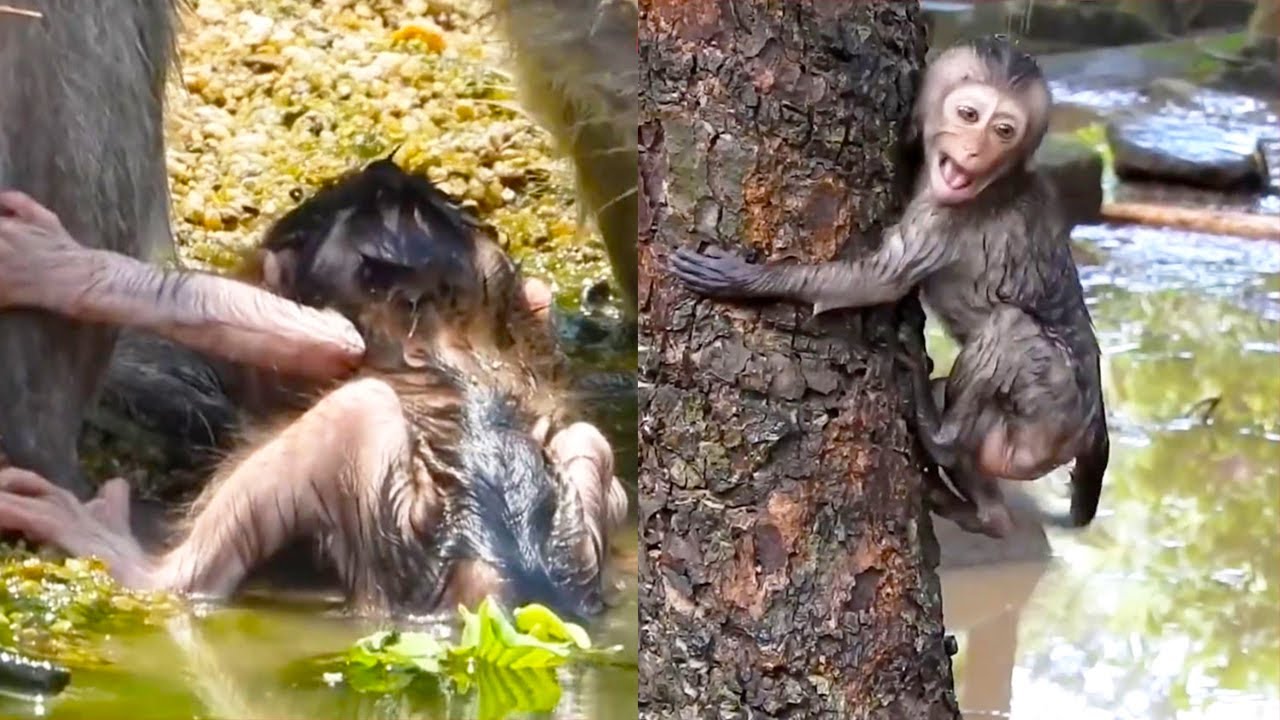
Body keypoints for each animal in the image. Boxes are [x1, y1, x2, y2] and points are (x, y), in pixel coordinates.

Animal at [0, 159, 628, 620]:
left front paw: (59, 267)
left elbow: (326, 340)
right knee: (588, 440)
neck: (441, 312)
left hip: (402, 552)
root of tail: (513, 587)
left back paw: (128, 556)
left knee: (360, 406)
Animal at [668, 36, 1109, 539]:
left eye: (1003, 131)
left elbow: (881, 281)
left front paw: (750, 280)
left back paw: (938, 432)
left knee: (1010, 326)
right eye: (969, 116)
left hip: (1051, 414)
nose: (974, 152)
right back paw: (989, 516)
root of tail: (1094, 429)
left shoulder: (943, 216)